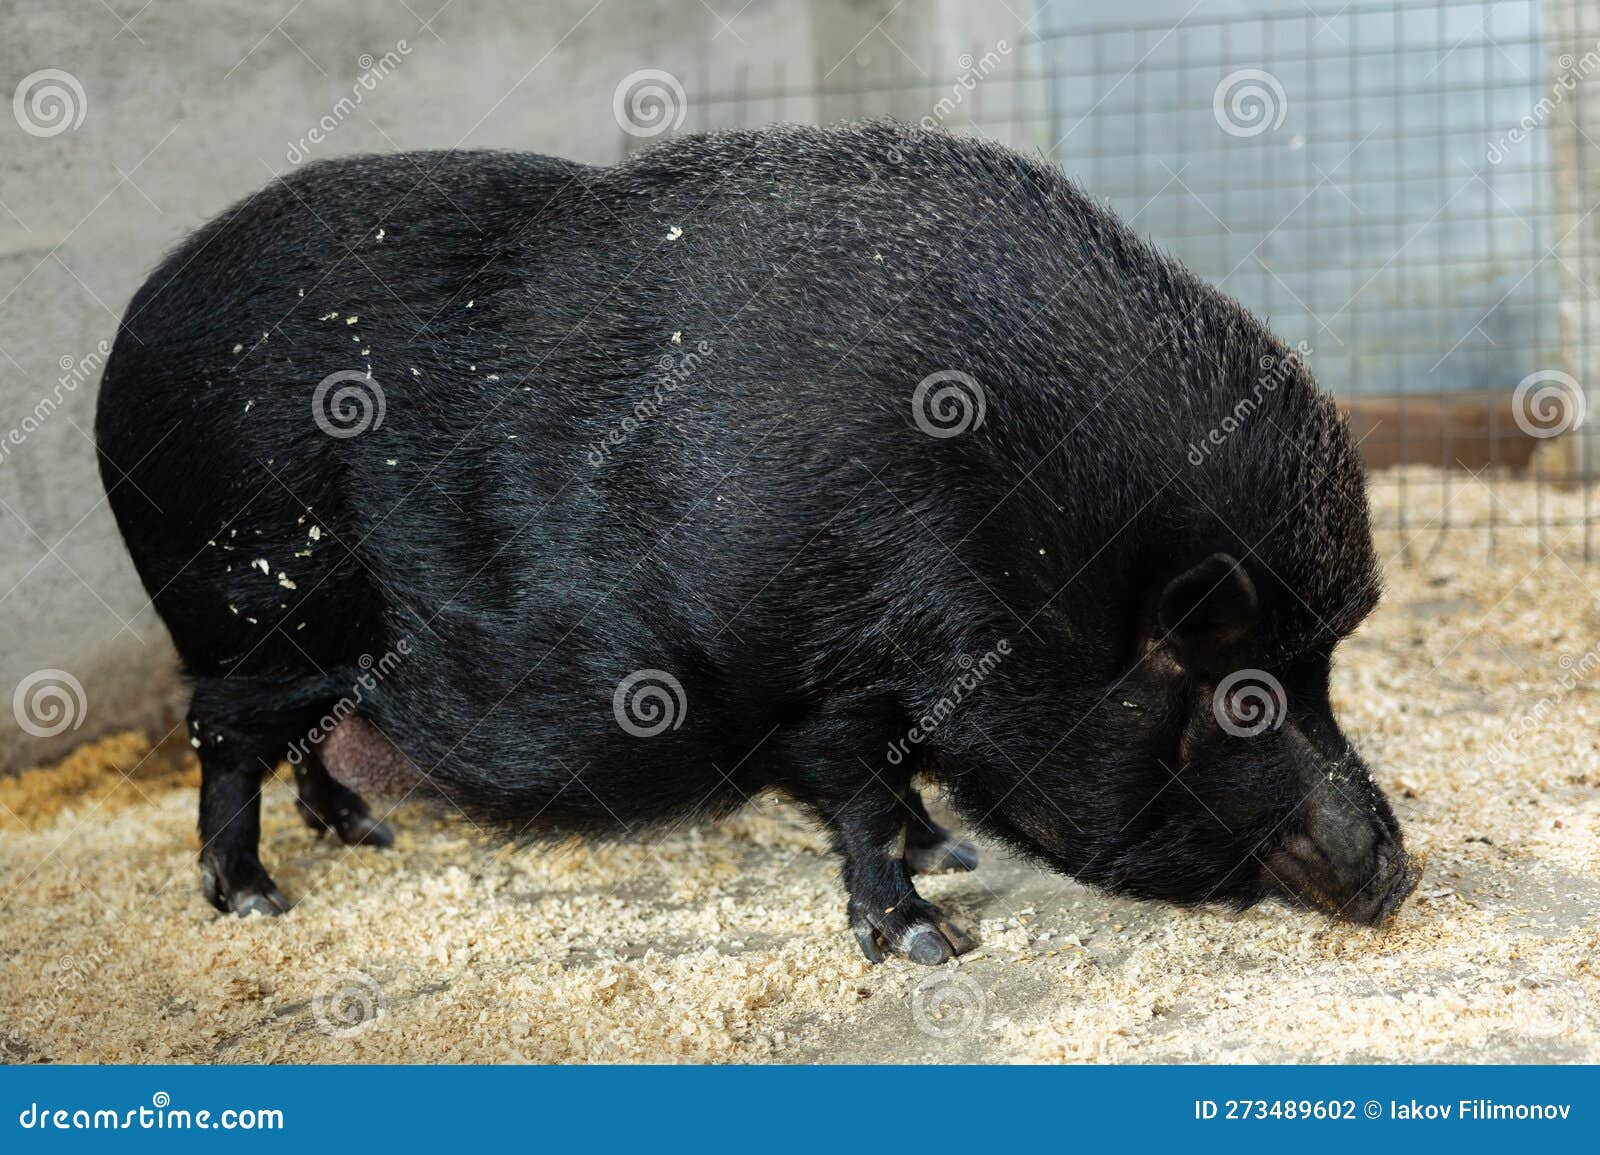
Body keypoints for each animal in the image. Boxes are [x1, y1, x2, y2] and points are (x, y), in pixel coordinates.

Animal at [95, 122, 1416, 965]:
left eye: (1321, 672)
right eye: (1243, 696)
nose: (1399, 876)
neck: (1012, 550)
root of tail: (127, 346)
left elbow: (900, 795)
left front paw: (953, 857)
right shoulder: (822, 681)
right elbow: (862, 804)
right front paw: (931, 939)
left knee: (300, 747)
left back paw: (359, 831)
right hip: (256, 613)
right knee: (224, 743)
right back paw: (257, 901)